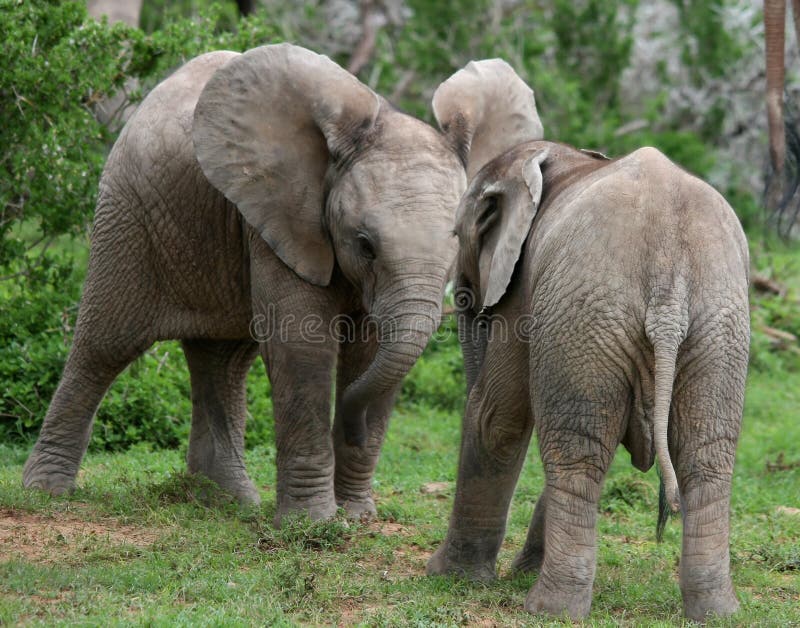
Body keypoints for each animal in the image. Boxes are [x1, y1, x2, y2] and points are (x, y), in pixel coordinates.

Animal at [22, 43, 480, 525]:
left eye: (457, 243)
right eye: (365, 244)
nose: (353, 428)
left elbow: (369, 350)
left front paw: (355, 517)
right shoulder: (282, 217)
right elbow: (301, 345)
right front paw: (311, 524)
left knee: (222, 361)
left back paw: (224, 500)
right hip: (126, 216)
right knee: (104, 345)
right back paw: (47, 492)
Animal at [425, 60, 750, 622]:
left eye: (459, 239)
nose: (470, 300)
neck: (563, 158)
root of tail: (669, 276)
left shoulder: (524, 290)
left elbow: (494, 415)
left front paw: (446, 577)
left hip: (590, 311)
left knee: (576, 453)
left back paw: (549, 610)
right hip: (717, 321)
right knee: (707, 455)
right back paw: (716, 613)